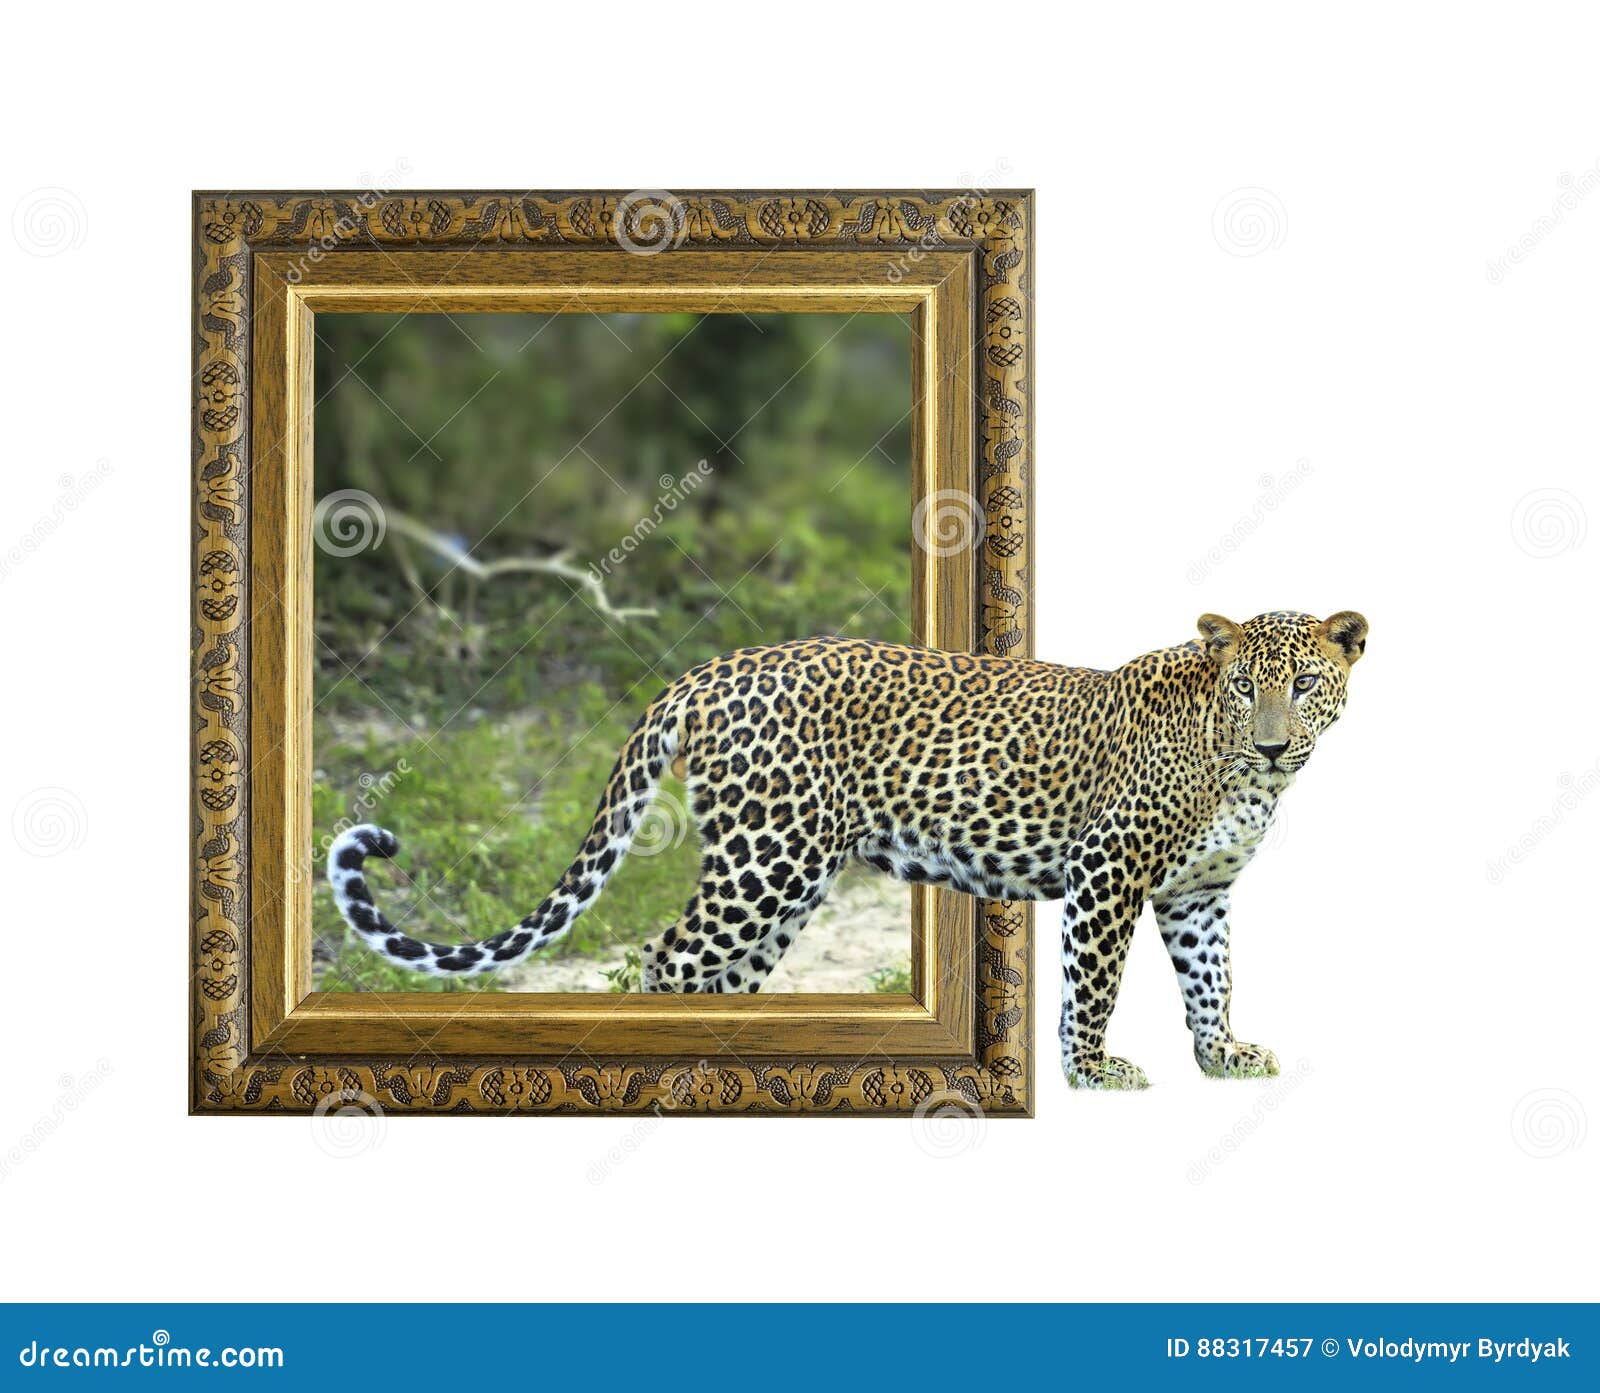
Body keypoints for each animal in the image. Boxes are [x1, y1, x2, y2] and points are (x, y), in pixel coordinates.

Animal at [327, 609, 1367, 1087]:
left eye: (1305, 683)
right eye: (1245, 686)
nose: (1273, 743)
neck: (1245, 777)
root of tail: (707, 670)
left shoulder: (1198, 893)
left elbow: (1211, 977)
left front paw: (1224, 1055)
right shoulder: (1107, 870)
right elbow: (1095, 983)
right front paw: (1094, 1071)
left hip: (783, 881)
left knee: (720, 972)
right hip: (765, 862)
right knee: (667, 957)